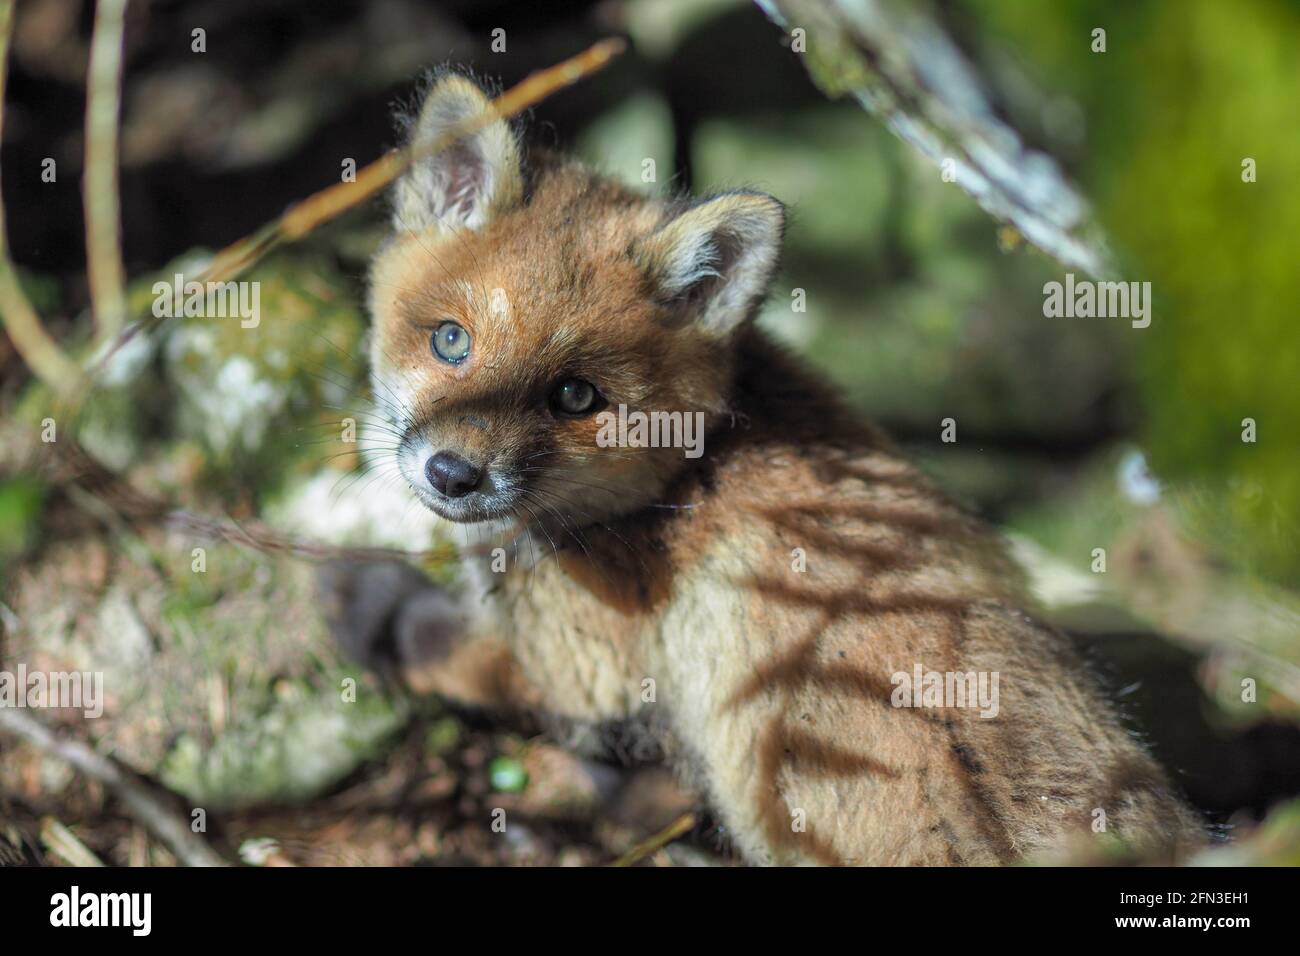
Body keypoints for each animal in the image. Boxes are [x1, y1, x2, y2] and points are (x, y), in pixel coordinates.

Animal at [330, 72, 1206, 865]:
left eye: (575, 396)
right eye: (451, 341)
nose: (452, 474)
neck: (684, 479)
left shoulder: (579, 672)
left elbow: (432, 642)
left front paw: (360, 601)